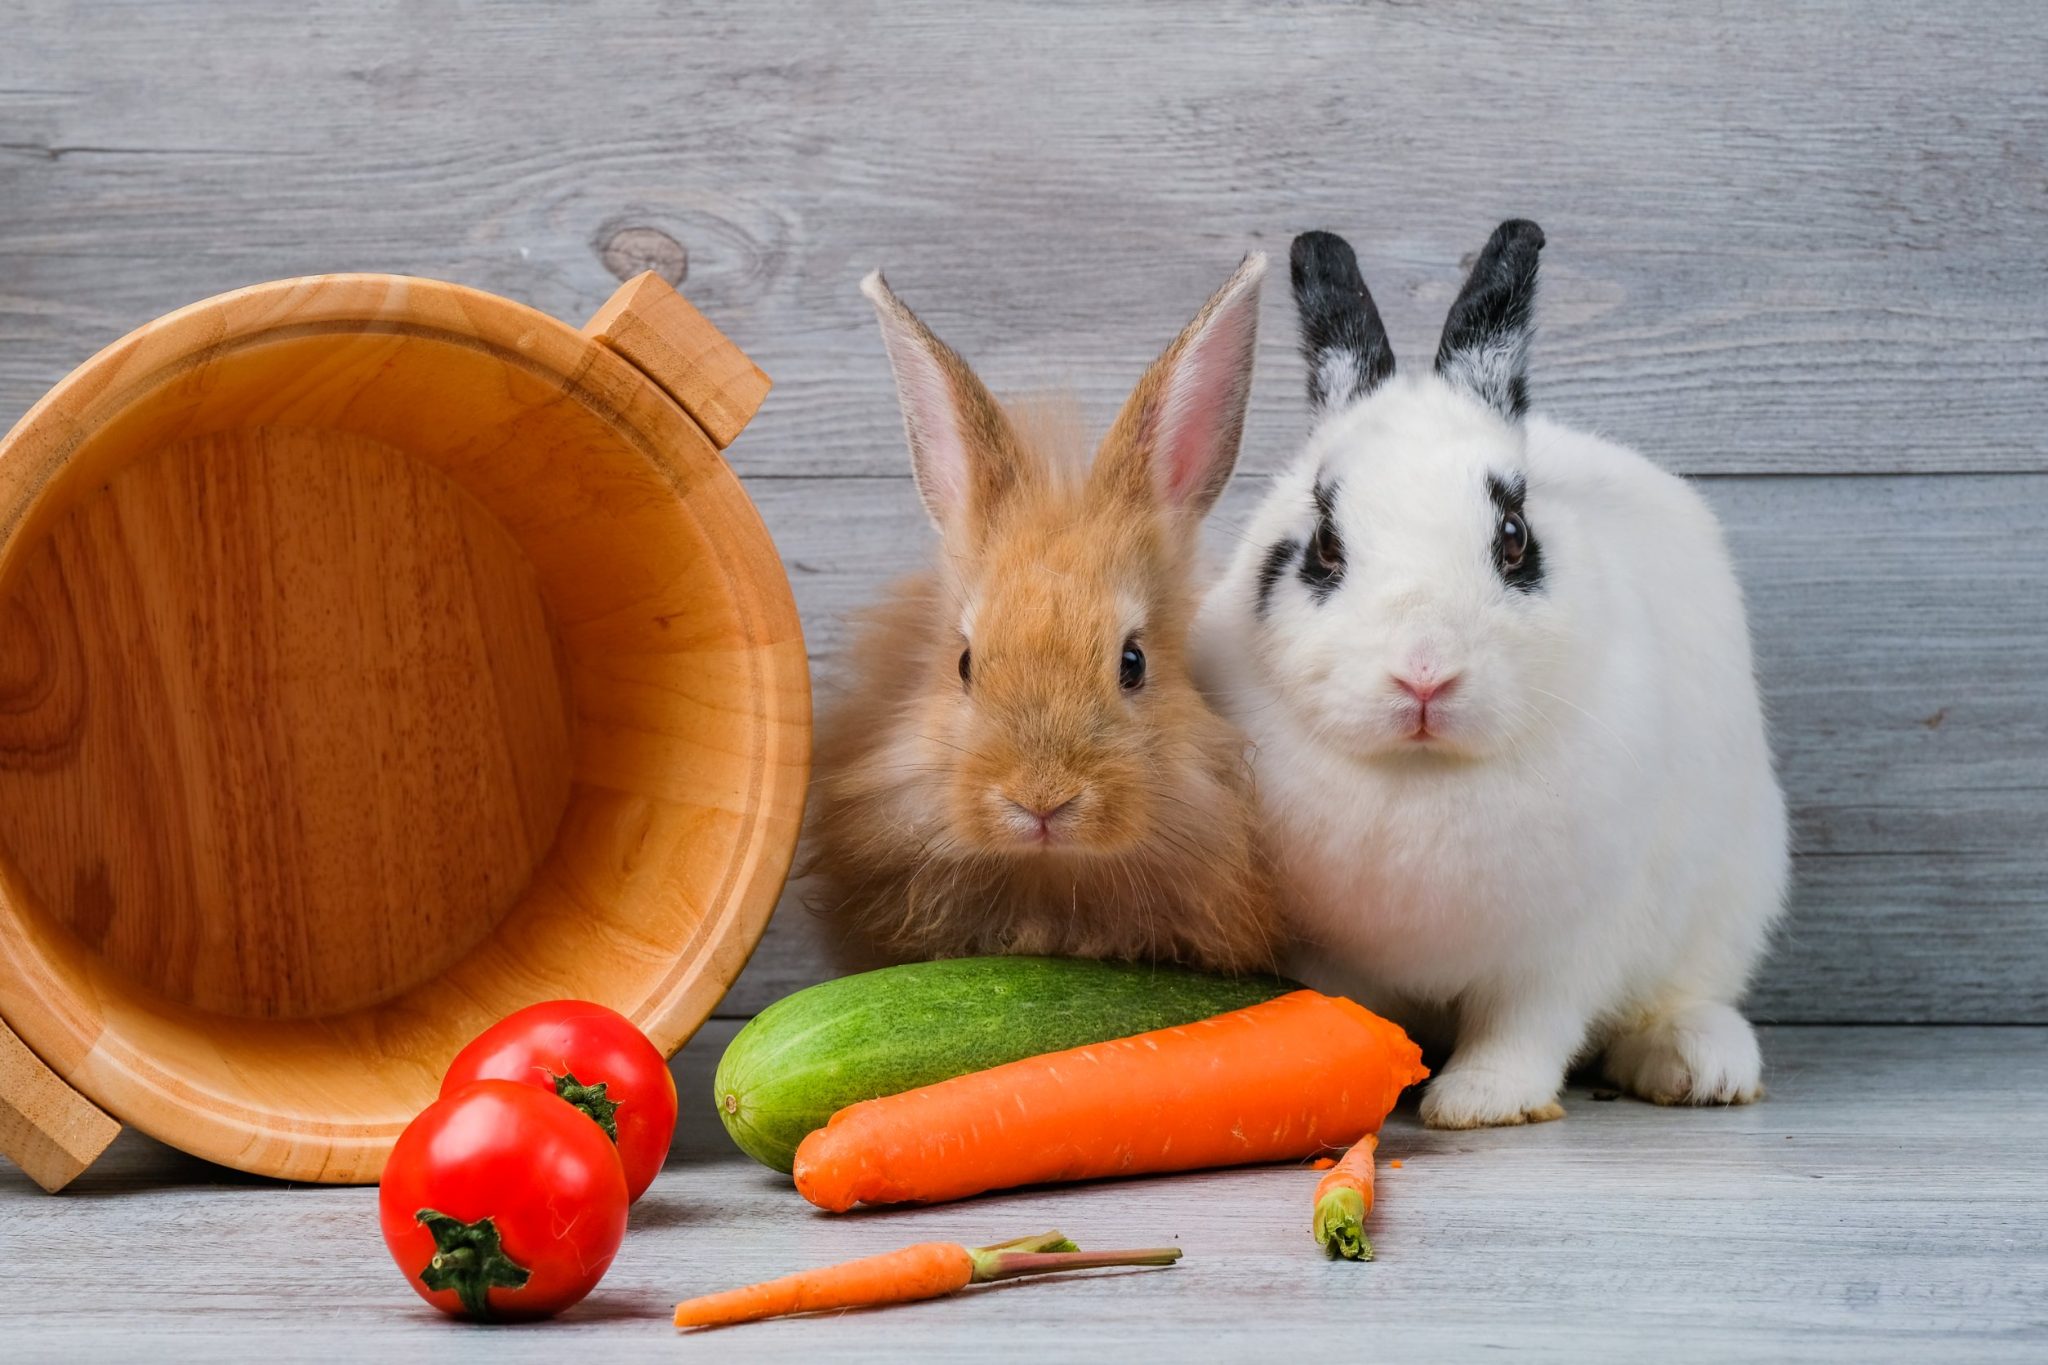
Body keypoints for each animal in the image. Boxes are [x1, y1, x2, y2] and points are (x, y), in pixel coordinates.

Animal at [1192, 222, 1789, 1127]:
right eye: (1324, 545)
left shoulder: (1566, 945)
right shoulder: (1320, 953)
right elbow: (1343, 1013)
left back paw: (1699, 1064)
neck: (1424, 774)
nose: (1424, 675)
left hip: (1733, 894)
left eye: (1514, 537)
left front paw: (1479, 1102)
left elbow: (1527, 1028)